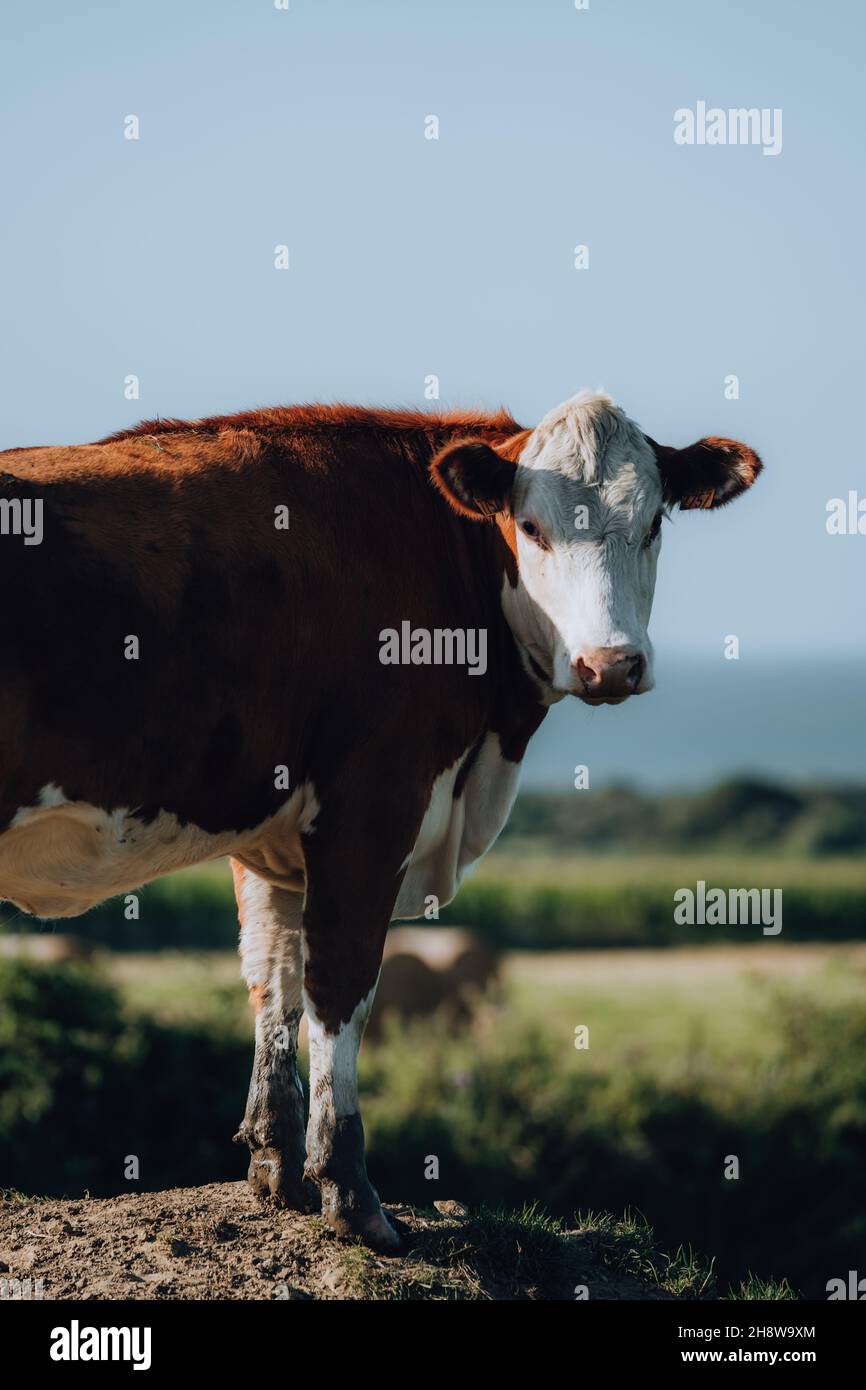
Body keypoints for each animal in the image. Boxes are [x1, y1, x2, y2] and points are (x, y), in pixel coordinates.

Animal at [0, 389, 761, 1250]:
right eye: (532, 526)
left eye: (653, 522)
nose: (610, 665)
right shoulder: (374, 806)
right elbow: (340, 987)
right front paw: (349, 1192)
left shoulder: (274, 832)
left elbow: (272, 975)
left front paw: (275, 1165)